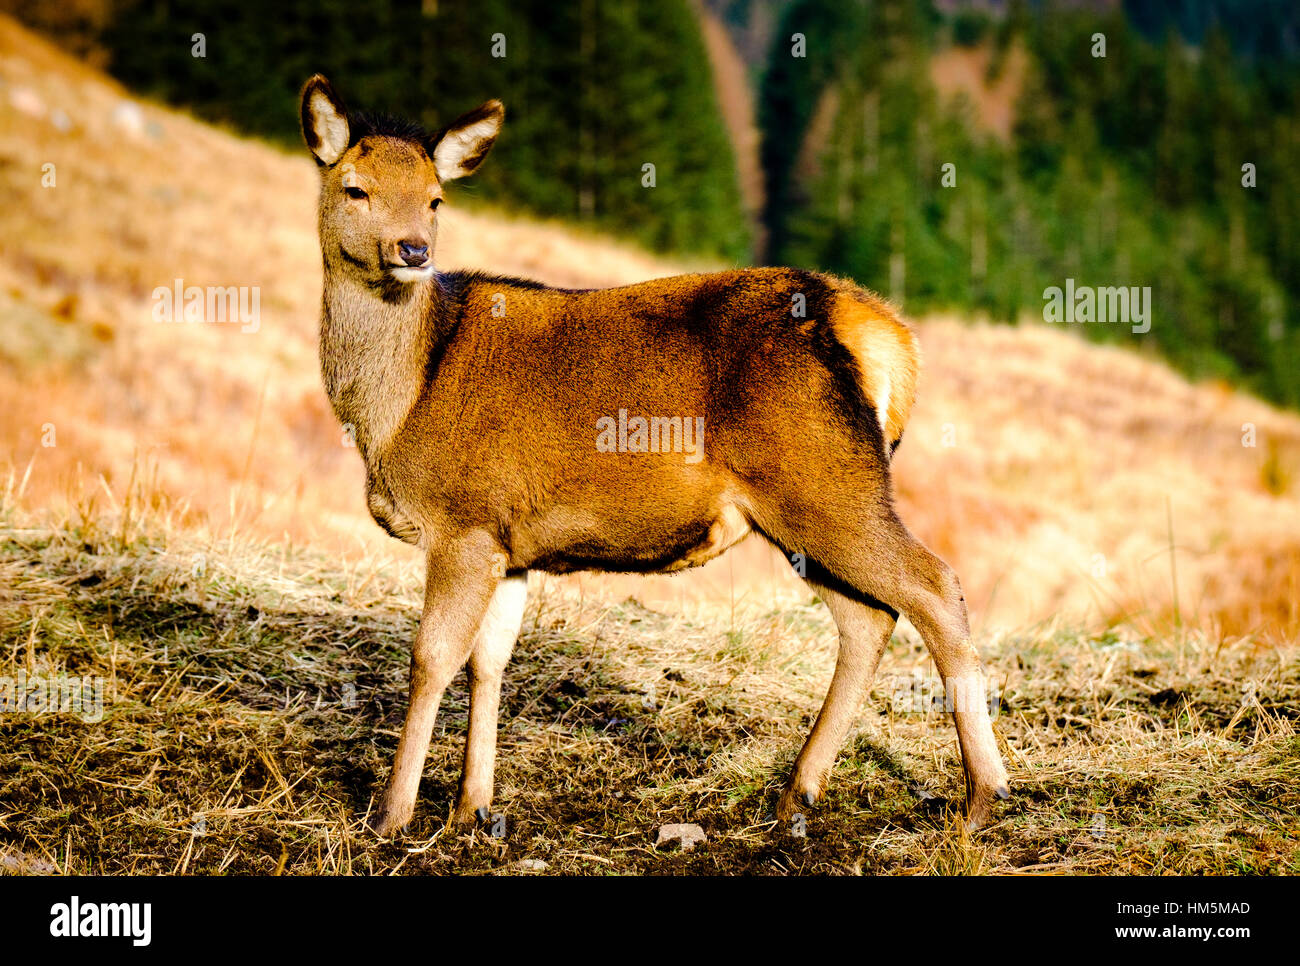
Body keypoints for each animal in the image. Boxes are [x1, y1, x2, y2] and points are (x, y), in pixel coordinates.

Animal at [299, 74, 1010, 838]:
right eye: (356, 189)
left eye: (435, 197)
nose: (412, 250)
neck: (399, 407)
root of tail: (884, 333)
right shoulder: (508, 542)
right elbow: (489, 662)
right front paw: (474, 809)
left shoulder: (462, 520)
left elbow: (431, 657)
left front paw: (392, 815)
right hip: (806, 504)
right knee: (869, 617)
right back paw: (796, 794)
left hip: (826, 480)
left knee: (935, 586)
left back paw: (982, 796)